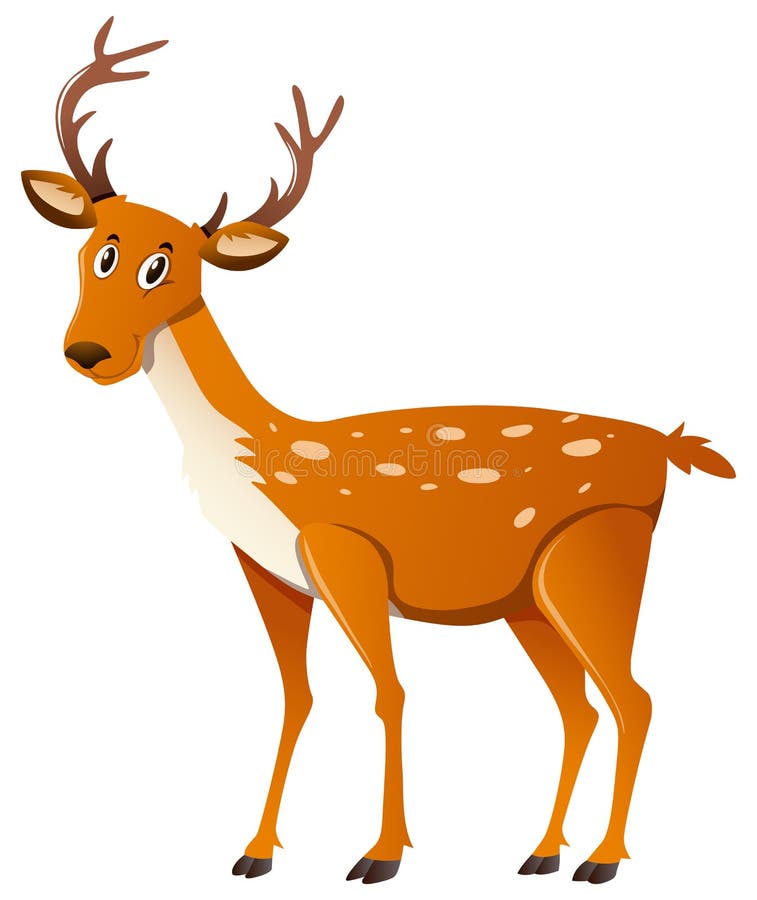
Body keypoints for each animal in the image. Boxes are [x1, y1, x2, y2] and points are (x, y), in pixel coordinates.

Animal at [21, 18, 735, 888]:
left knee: (633, 697)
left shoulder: (347, 554)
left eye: (164, 265)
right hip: (527, 601)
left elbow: (389, 691)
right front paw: (255, 851)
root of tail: (667, 448)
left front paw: (380, 855)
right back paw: (539, 852)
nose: (89, 353)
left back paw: (600, 861)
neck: (255, 459)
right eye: (98, 250)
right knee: (578, 705)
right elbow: (296, 697)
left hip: (595, 558)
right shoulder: (269, 571)